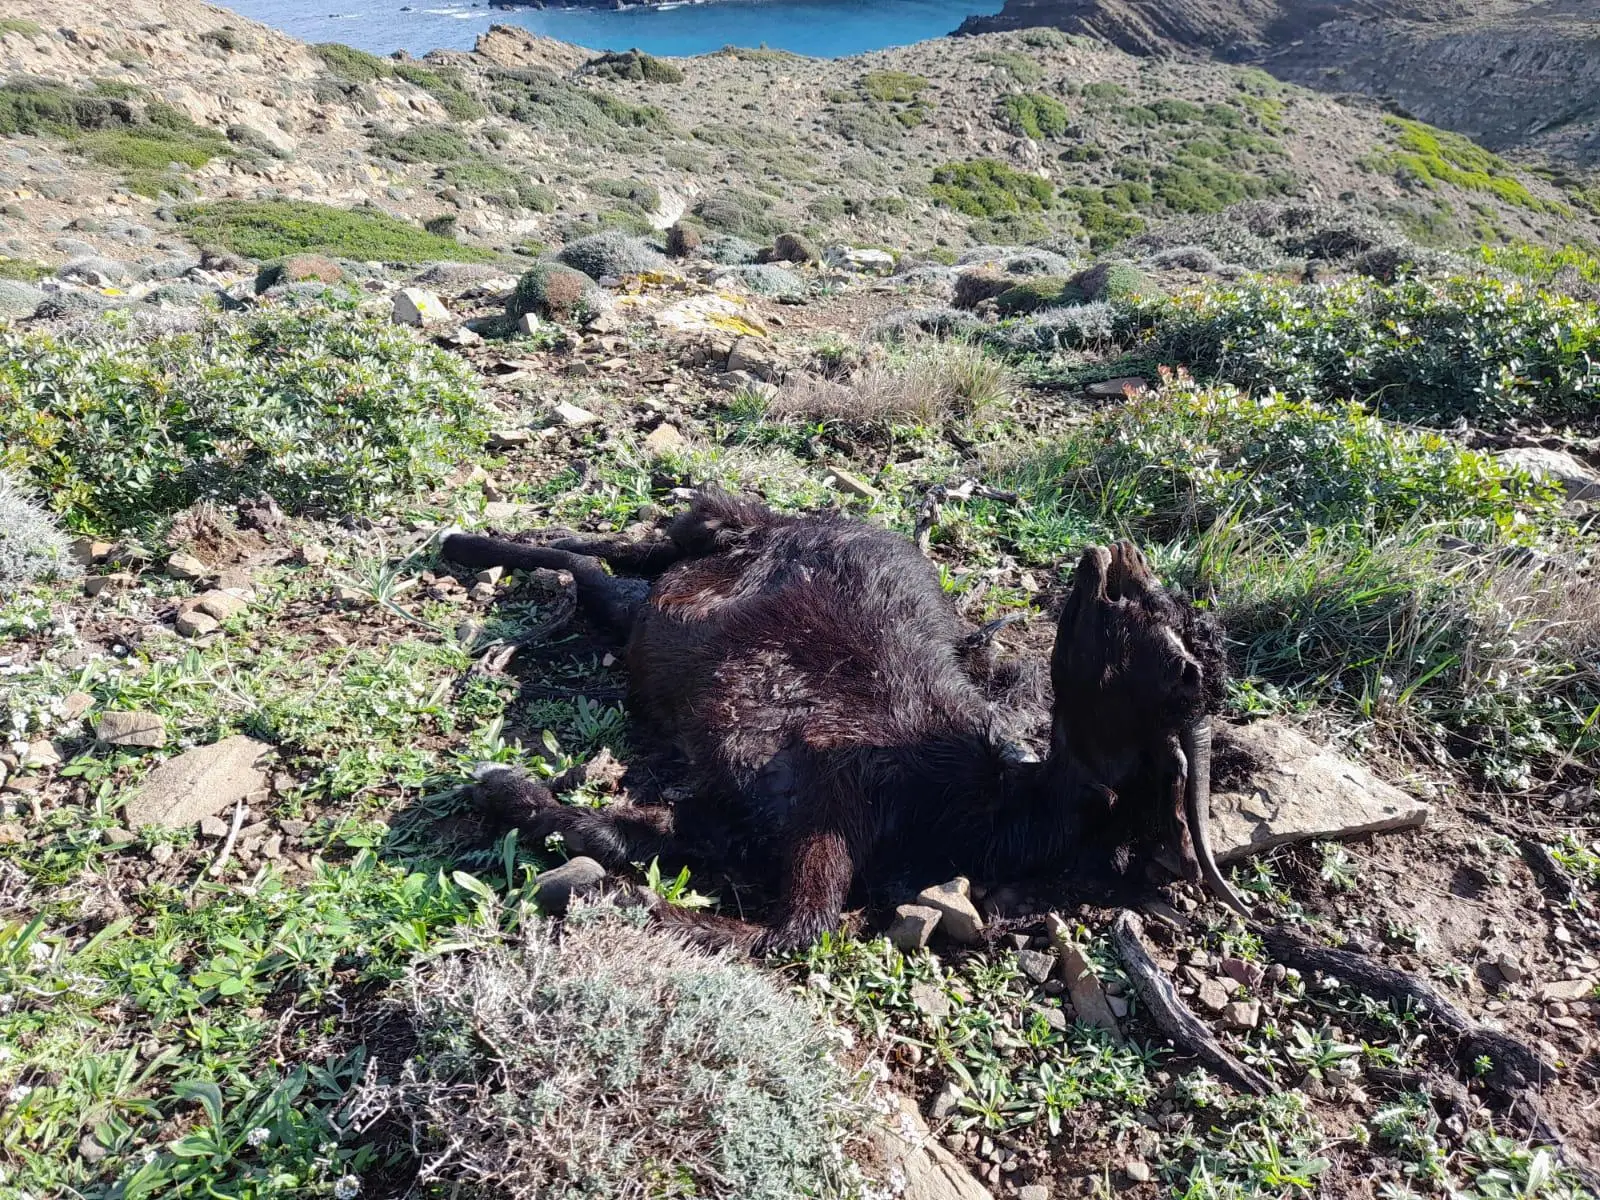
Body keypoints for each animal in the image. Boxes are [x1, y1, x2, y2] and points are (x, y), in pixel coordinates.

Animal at [444, 489, 1247, 953]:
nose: (1120, 557)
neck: (980, 798)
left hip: (657, 597)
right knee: (614, 551)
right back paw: (466, 543)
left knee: (605, 568)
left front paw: (542, 837)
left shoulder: (781, 819)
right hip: (713, 531)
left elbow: (781, 928)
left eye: (1179, 669)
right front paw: (516, 805)